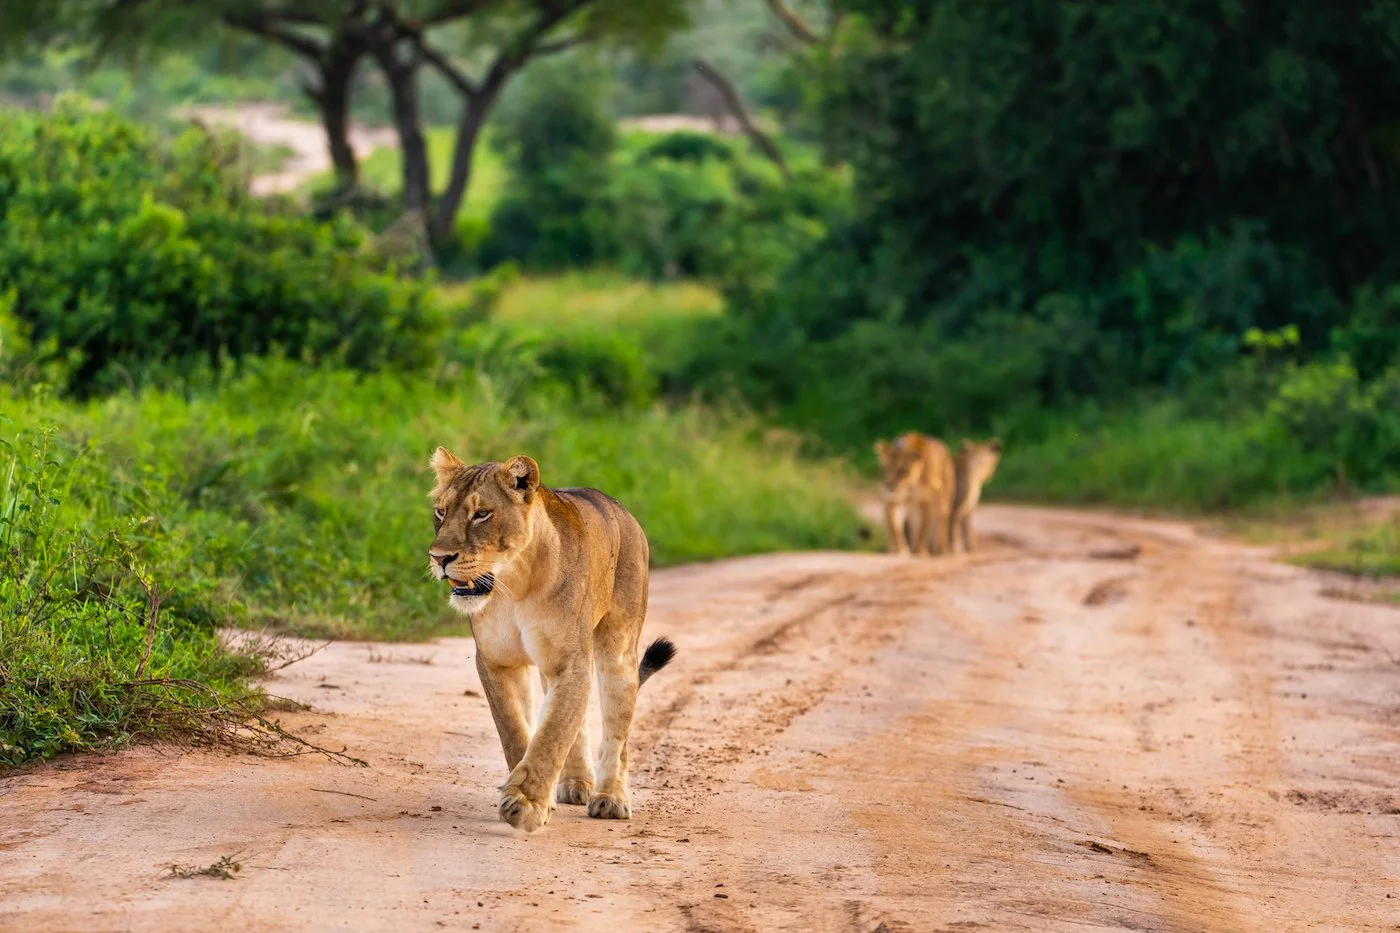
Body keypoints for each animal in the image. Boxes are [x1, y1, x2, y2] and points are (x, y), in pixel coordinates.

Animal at [427, 449, 674, 833]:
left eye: (482, 514)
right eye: (440, 511)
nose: (439, 558)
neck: (514, 584)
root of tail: (622, 509)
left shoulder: (570, 662)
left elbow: (552, 734)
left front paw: (524, 803)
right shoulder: (497, 660)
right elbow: (517, 729)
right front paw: (527, 793)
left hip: (618, 650)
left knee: (617, 731)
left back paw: (610, 798)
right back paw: (574, 785)